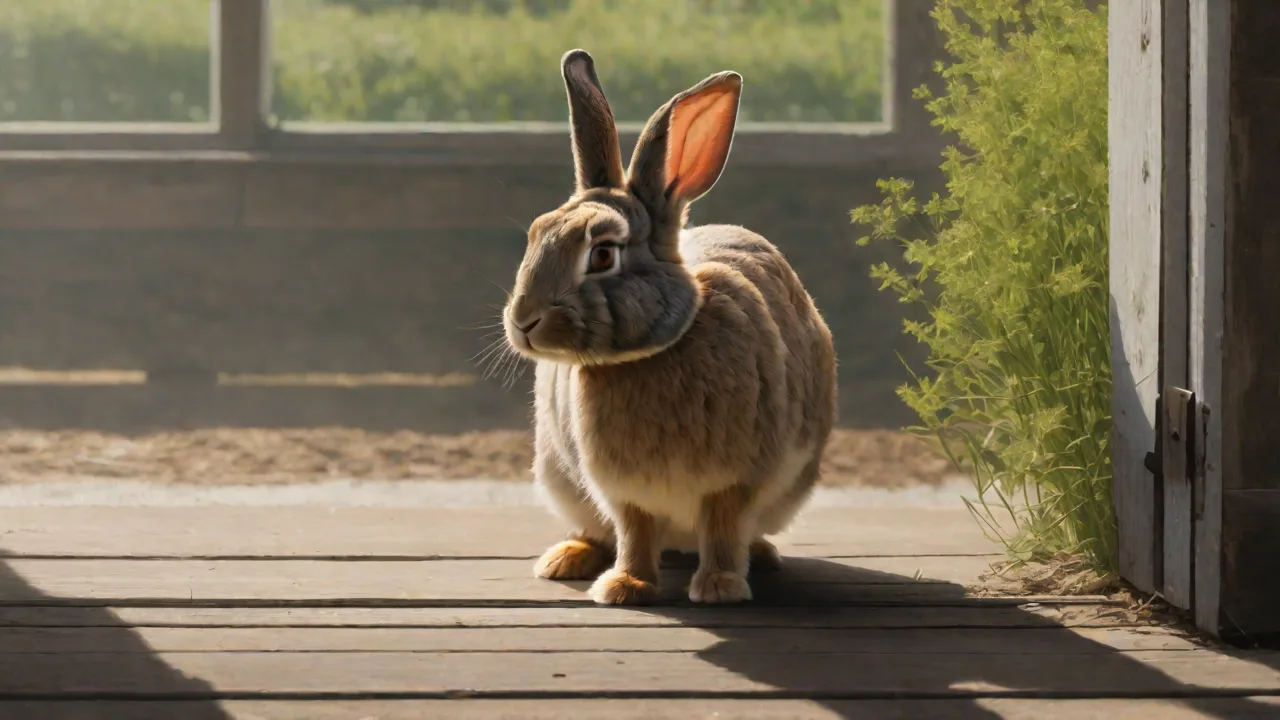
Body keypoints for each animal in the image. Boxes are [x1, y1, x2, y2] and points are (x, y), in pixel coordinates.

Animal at [502, 49, 837, 605]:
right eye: (535, 234)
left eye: (602, 254)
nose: (523, 320)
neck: (652, 353)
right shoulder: (622, 491)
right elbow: (634, 531)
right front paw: (625, 586)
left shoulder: (735, 481)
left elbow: (723, 527)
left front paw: (721, 587)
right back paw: (565, 559)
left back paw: (760, 557)